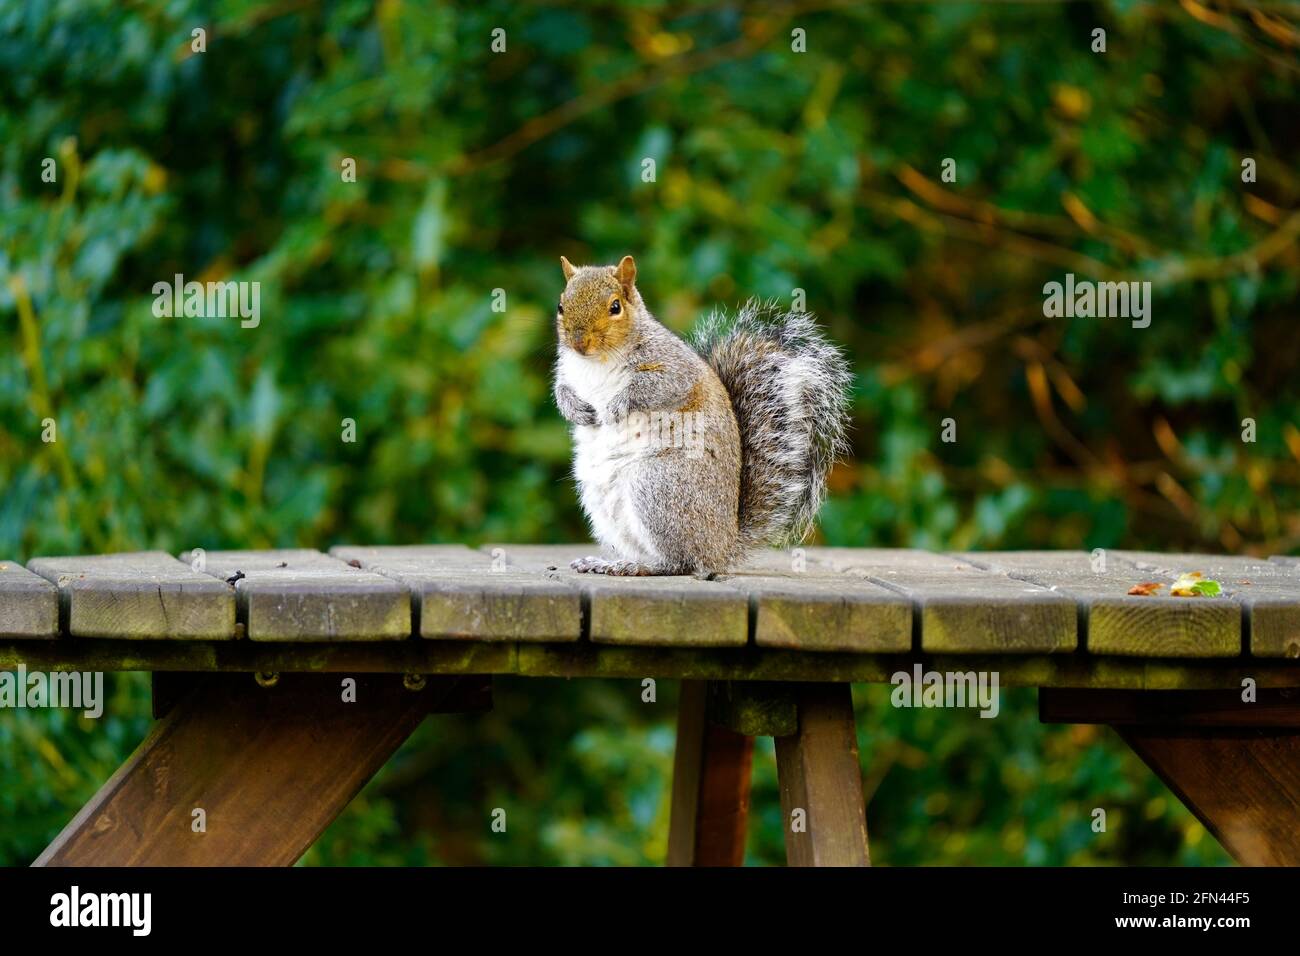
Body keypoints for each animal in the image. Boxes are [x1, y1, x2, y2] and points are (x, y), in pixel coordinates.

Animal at [553, 255, 850, 576]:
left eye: (615, 307)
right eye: (561, 305)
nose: (579, 343)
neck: (595, 362)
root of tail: (723, 547)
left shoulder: (674, 369)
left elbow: (653, 387)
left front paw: (614, 407)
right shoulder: (567, 371)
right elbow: (561, 390)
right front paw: (576, 409)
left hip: (657, 486)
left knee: (681, 562)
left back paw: (637, 566)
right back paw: (607, 562)